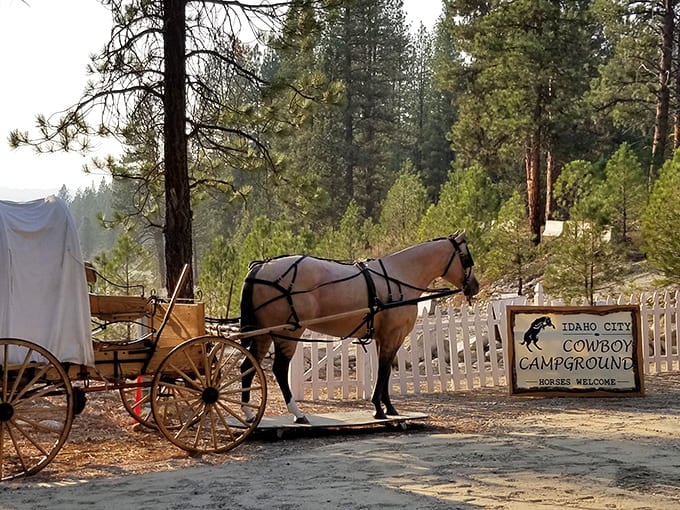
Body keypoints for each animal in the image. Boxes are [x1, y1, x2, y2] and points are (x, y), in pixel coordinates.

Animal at [238, 232, 479, 424]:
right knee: (279, 370)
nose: (474, 286)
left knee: (248, 366)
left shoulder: (383, 338)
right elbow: (383, 370)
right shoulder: (393, 335)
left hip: (264, 335)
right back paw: (297, 414)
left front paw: (388, 408)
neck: (398, 276)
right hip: (286, 333)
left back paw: (248, 414)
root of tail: (260, 267)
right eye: (467, 258)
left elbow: (385, 371)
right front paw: (379, 409)